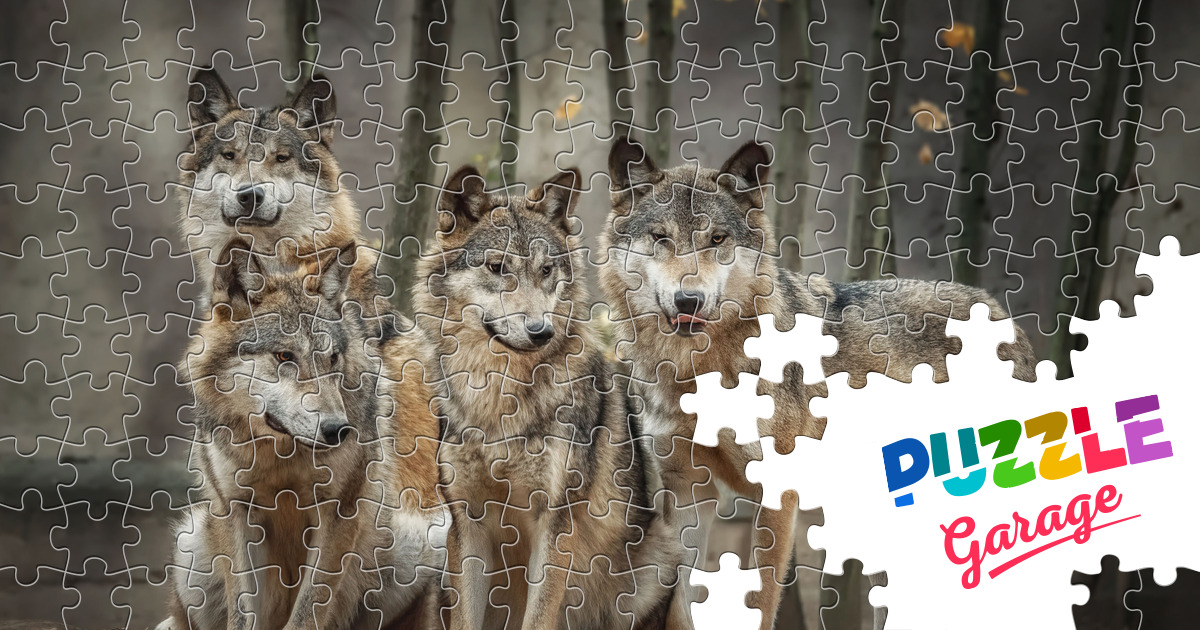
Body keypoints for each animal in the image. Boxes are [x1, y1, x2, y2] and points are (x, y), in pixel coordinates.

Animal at [158, 240, 447, 630]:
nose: (338, 429)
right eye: (284, 356)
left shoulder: (339, 512)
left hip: (417, 540)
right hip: (191, 545)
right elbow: (241, 613)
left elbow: (309, 610)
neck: (279, 455)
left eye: (333, 358)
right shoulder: (233, 510)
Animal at [413, 166, 688, 629]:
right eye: (497, 267)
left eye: (546, 270)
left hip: (659, 562)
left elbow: (538, 617)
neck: (499, 400)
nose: (540, 331)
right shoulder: (467, 524)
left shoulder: (556, 524)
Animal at [601, 137, 1038, 629]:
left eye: (717, 240)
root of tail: (1002, 314)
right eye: (661, 238)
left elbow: (760, 603)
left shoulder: (777, 496)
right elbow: (678, 605)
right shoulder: (688, 492)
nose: (688, 299)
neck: (699, 372)